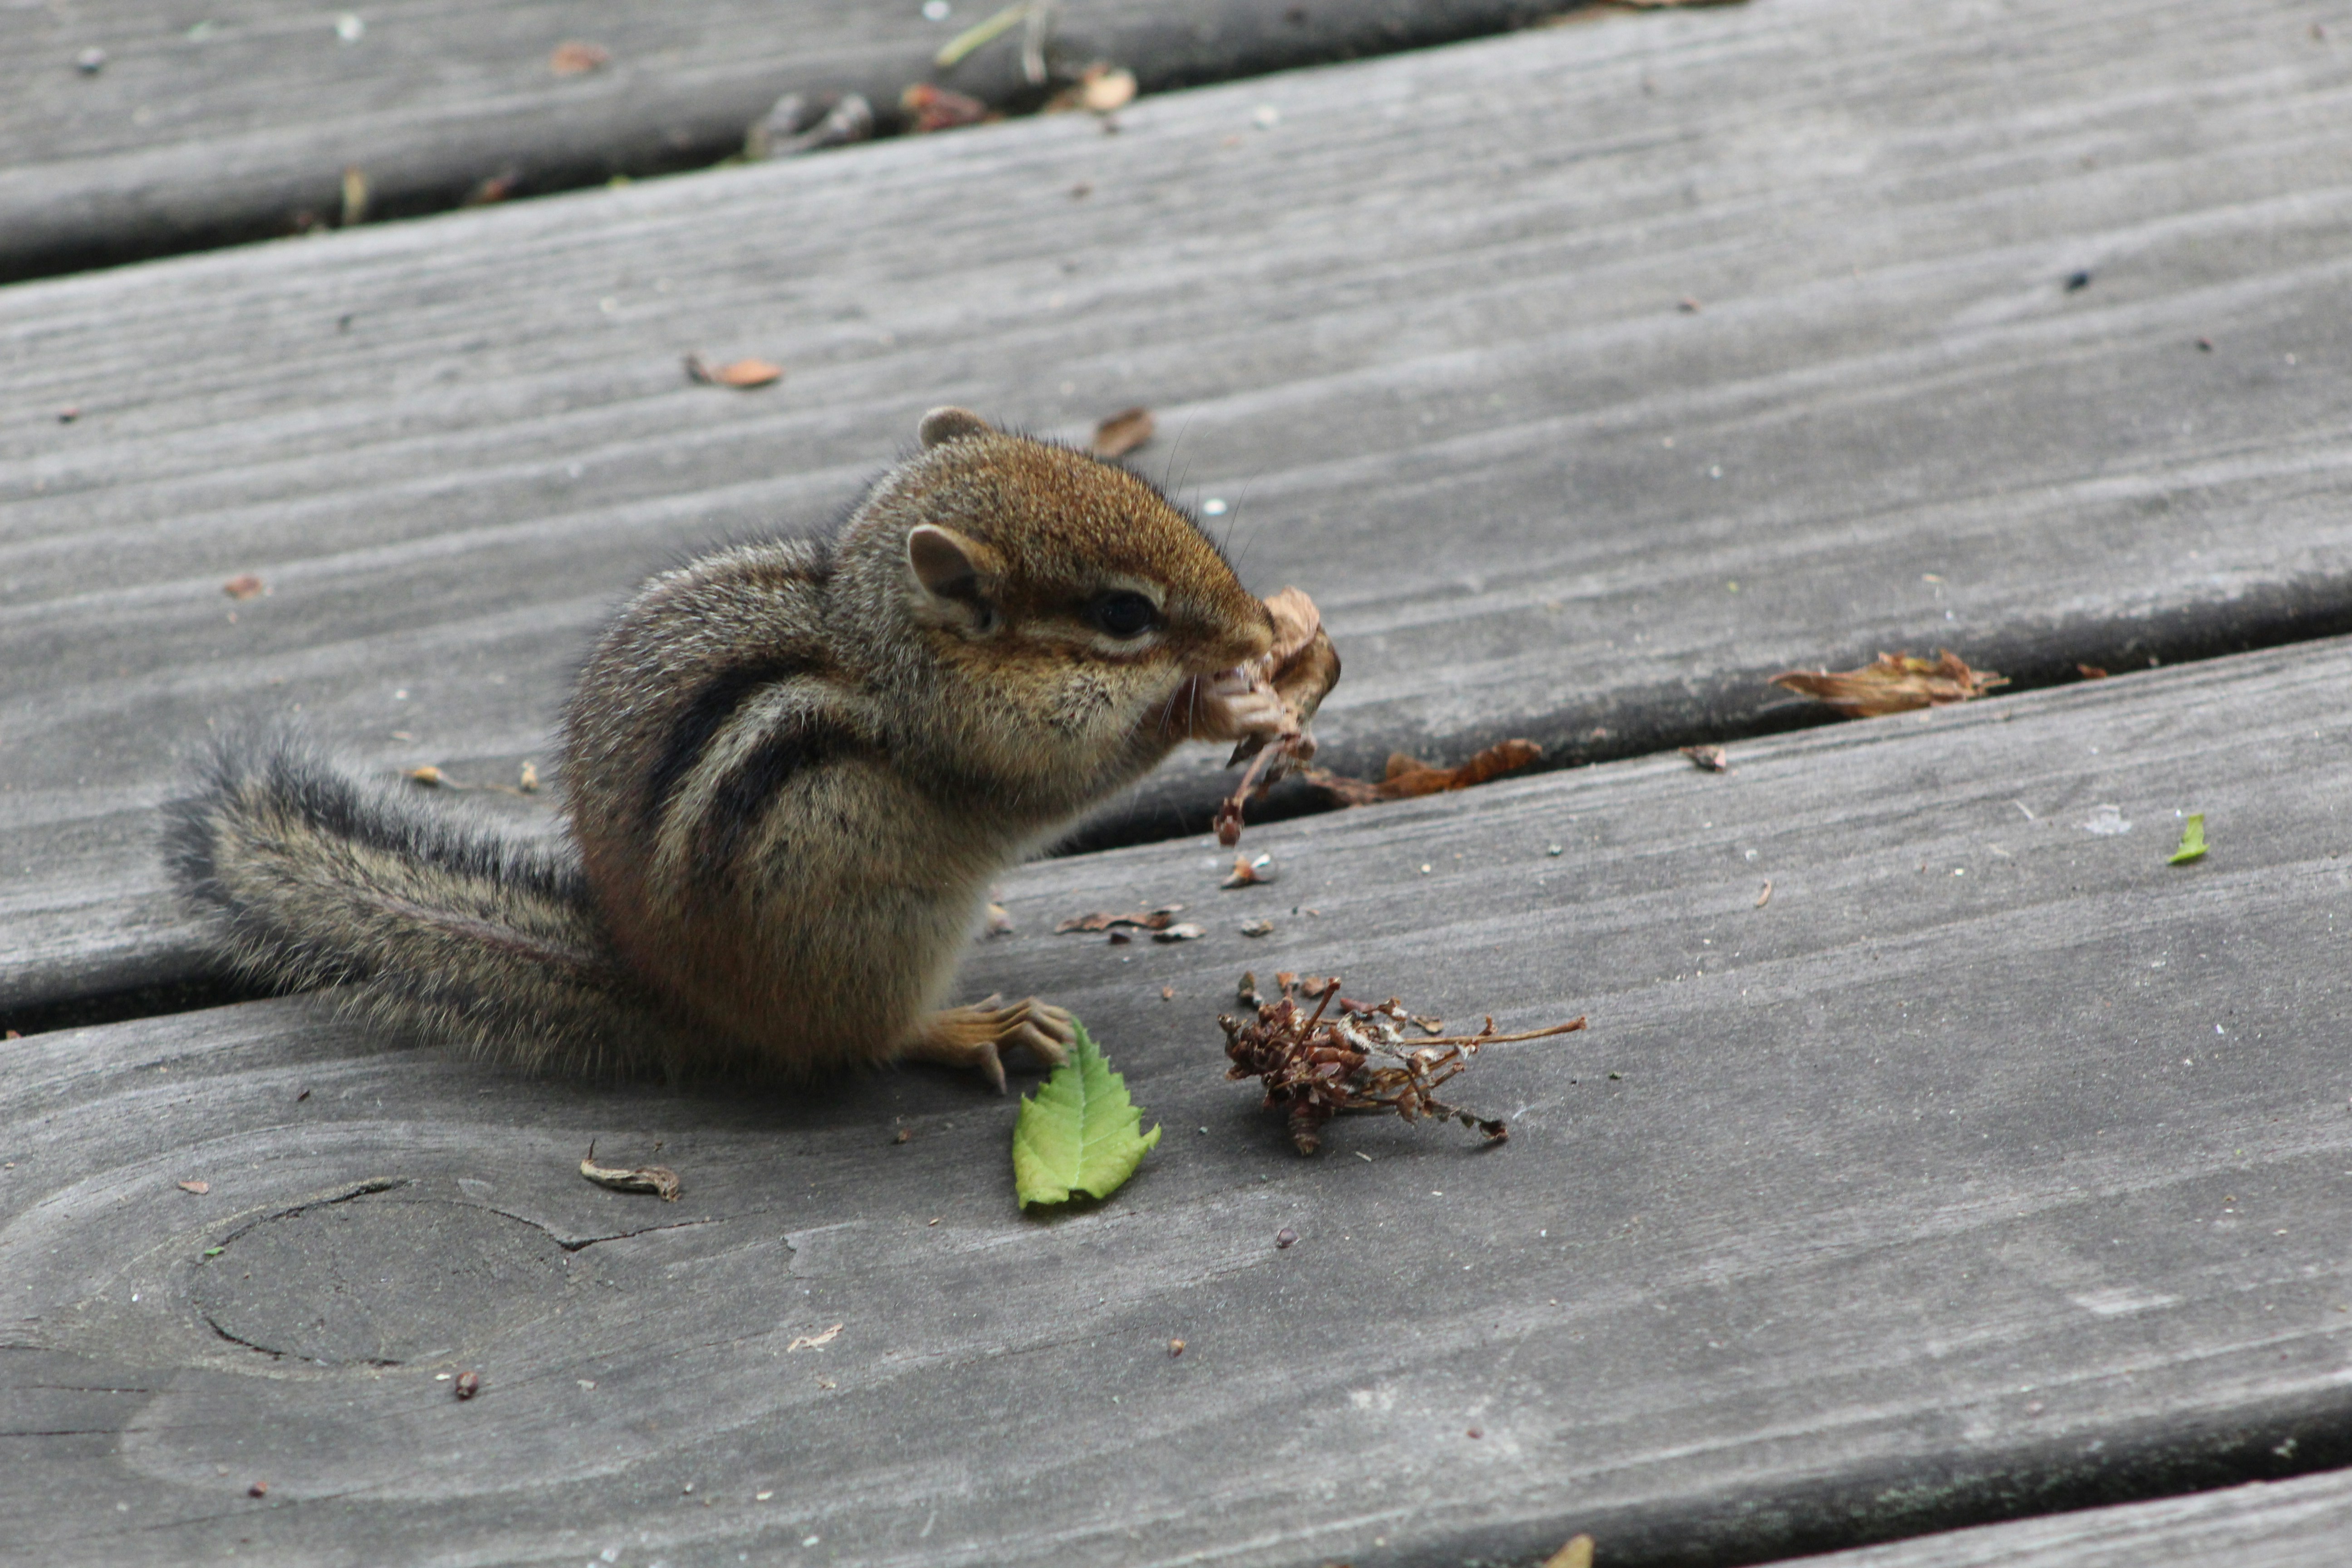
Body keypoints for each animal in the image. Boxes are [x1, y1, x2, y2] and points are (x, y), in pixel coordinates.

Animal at [167, 407, 1312, 1090]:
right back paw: (968, 1031)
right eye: (1124, 614)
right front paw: (1221, 707)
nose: (1257, 625)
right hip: (877, 931)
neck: (881, 642)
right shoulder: (984, 735)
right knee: (866, 1040)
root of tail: (687, 996)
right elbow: (1070, 773)